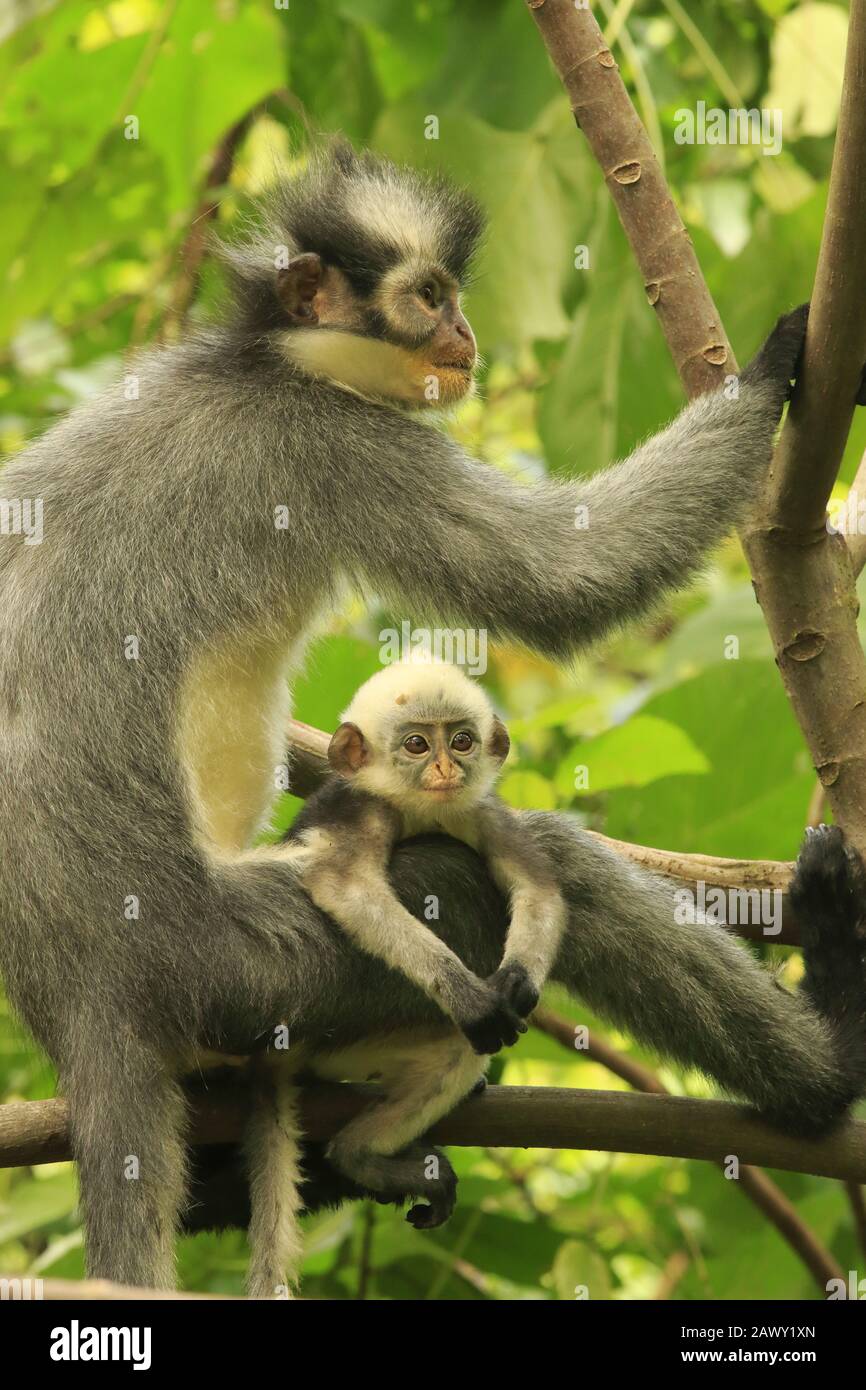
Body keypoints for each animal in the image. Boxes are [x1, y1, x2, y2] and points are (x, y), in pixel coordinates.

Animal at [1, 139, 865, 1295]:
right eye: (428, 296)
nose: (463, 337)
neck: (261, 360)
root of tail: (89, 994)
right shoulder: (331, 444)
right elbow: (565, 581)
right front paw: (771, 366)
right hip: (263, 959)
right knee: (547, 868)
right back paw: (833, 1050)